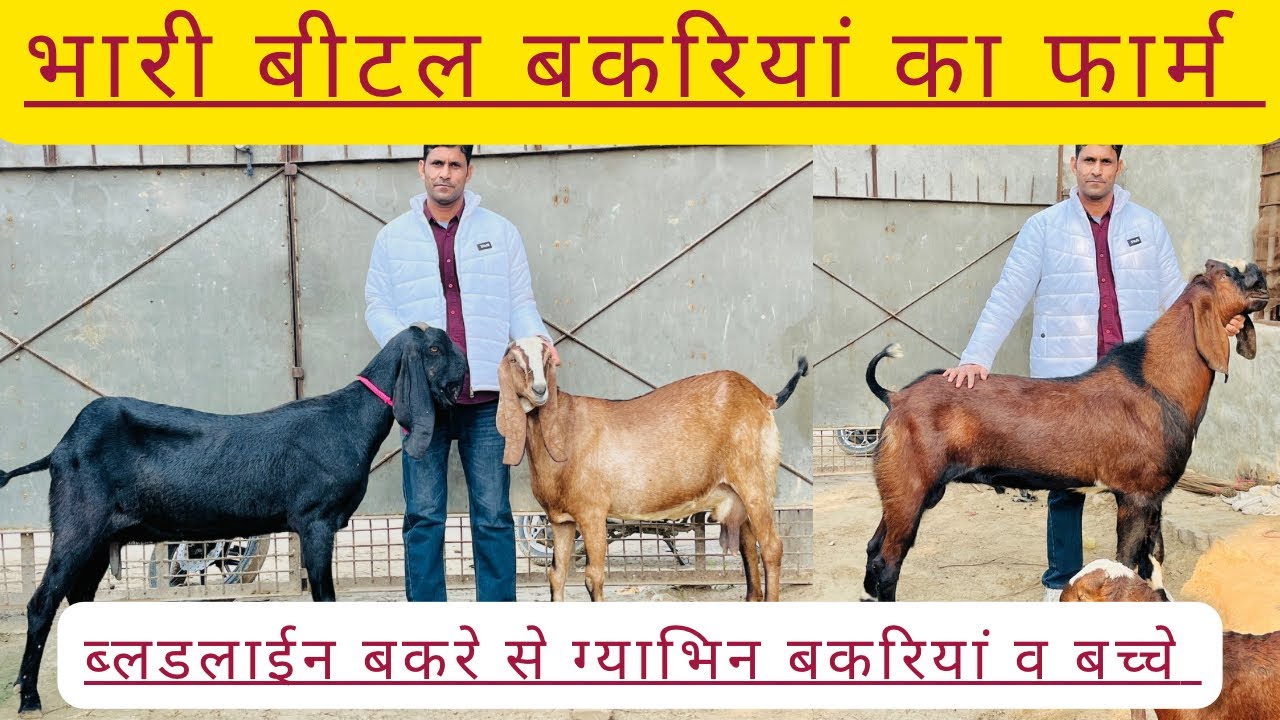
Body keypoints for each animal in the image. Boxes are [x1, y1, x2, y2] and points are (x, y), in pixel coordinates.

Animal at [1, 324, 465, 716]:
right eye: (435, 349)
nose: (466, 369)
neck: (350, 420)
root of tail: (61, 449)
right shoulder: (316, 520)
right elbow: (325, 598)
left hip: (99, 540)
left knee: (78, 597)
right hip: (78, 525)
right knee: (41, 603)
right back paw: (29, 698)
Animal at [495, 337, 807, 602]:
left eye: (547, 358)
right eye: (513, 359)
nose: (539, 390)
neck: (564, 429)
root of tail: (761, 396)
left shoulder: (593, 513)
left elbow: (593, 578)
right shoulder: (561, 521)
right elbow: (556, 575)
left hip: (756, 484)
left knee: (772, 547)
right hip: (738, 497)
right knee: (749, 550)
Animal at [862, 259, 1270, 602]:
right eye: (1231, 273)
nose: (1258, 268)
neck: (1156, 383)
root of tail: (897, 397)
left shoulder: (1155, 497)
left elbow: (1154, 559)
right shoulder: (1134, 496)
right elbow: (1126, 563)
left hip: (904, 492)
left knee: (872, 550)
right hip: (911, 488)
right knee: (887, 561)